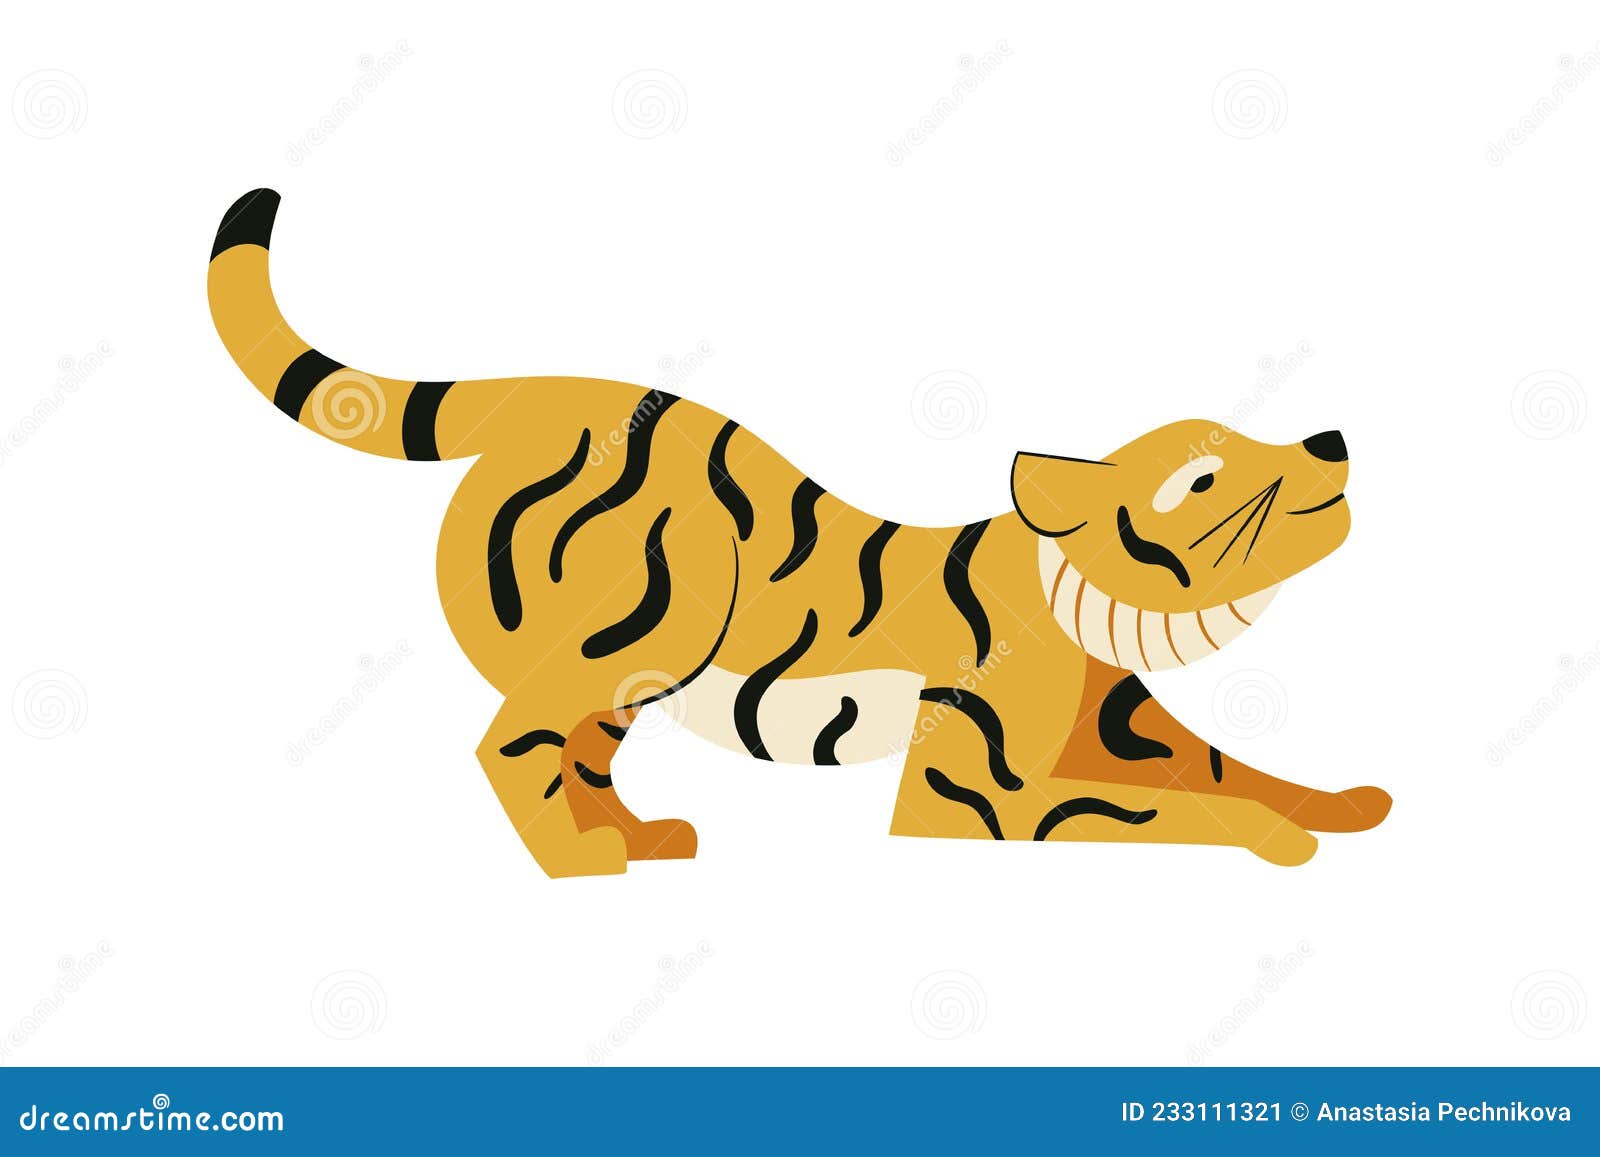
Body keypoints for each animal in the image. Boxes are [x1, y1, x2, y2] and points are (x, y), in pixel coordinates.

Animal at [207, 188, 1392, 878]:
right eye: (1201, 475)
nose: (1332, 437)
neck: (1096, 607)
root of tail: (553, 395)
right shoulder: (977, 793)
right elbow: (1161, 811)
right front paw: (1285, 842)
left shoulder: (1131, 727)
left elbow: (1236, 770)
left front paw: (1347, 802)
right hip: (624, 634)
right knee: (510, 744)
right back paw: (577, 862)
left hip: (630, 664)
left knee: (576, 751)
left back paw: (636, 839)